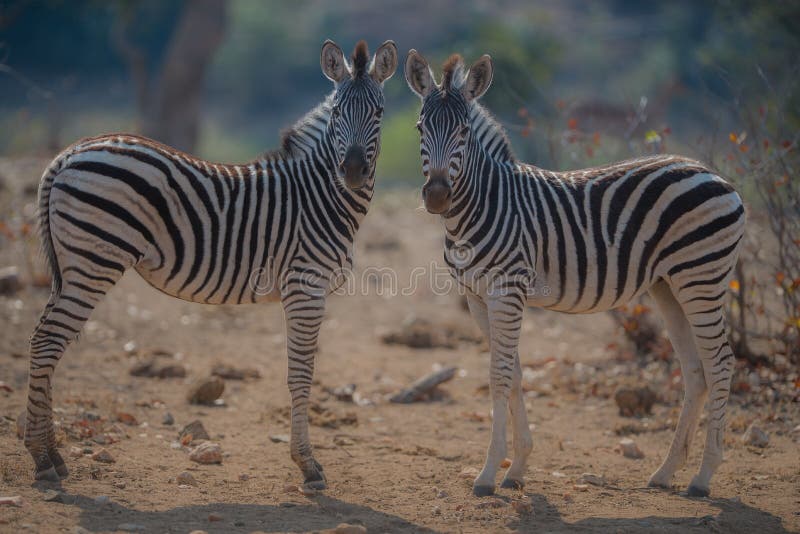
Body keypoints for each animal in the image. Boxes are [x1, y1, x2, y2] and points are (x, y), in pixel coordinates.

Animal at [24, 39, 397, 489]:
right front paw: (308, 465)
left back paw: (51, 456)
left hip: (74, 266)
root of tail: (66, 155)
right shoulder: (305, 286)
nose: (353, 171)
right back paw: (42, 459)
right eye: (339, 112)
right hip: (94, 262)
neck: (319, 194)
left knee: (44, 340)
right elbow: (301, 373)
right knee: (47, 342)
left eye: (379, 112)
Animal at [405, 51, 746, 498]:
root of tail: (714, 174)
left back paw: (703, 478)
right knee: (695, 371)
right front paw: (517, 468)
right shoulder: (477, 297)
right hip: (668, 286)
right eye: (420, 128)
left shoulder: (507, 290)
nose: (437, 196)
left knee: (720, 363)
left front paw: (488, 473)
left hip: (702, 278)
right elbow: (514, 372)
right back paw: (665, 472)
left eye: (463, 131)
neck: (482, 204)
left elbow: (499, 376)